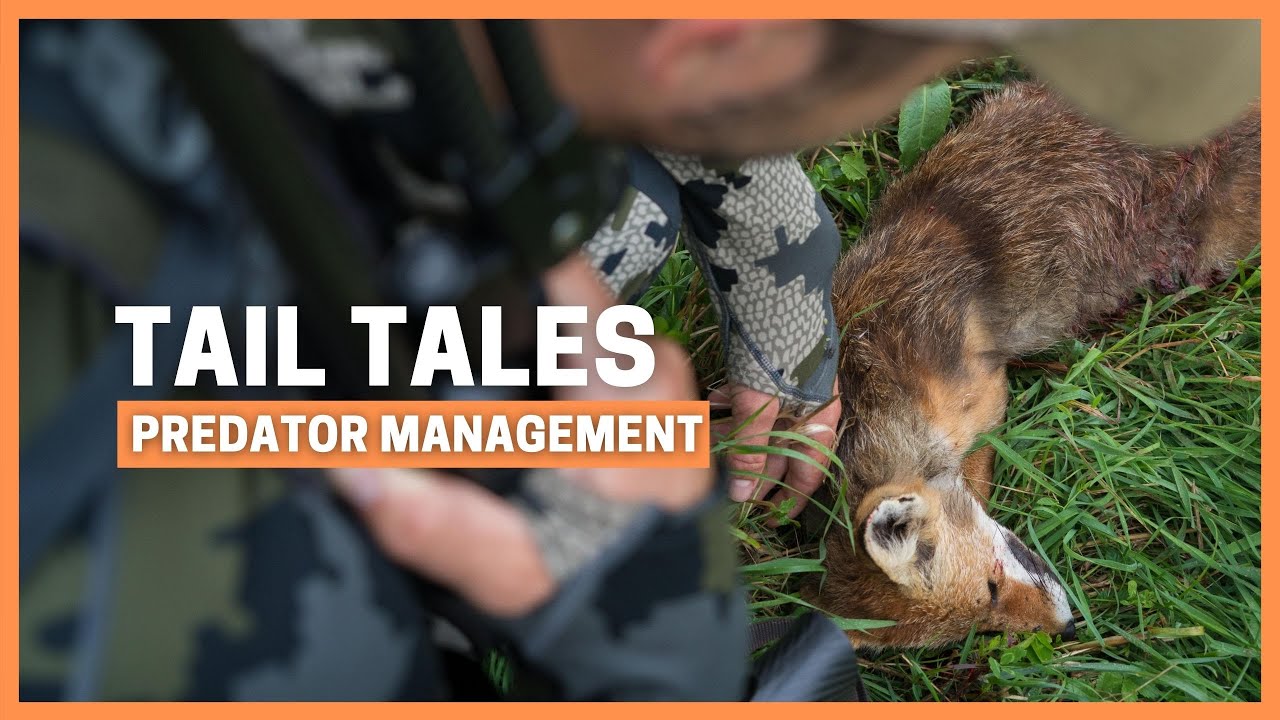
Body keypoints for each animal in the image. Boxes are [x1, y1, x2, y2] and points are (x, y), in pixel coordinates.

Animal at [811, 81, 1260, 649]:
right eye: (973, 630)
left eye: (991, 586)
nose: (1067, 628)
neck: (873, 378)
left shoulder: (983, 395)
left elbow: (979, 474)